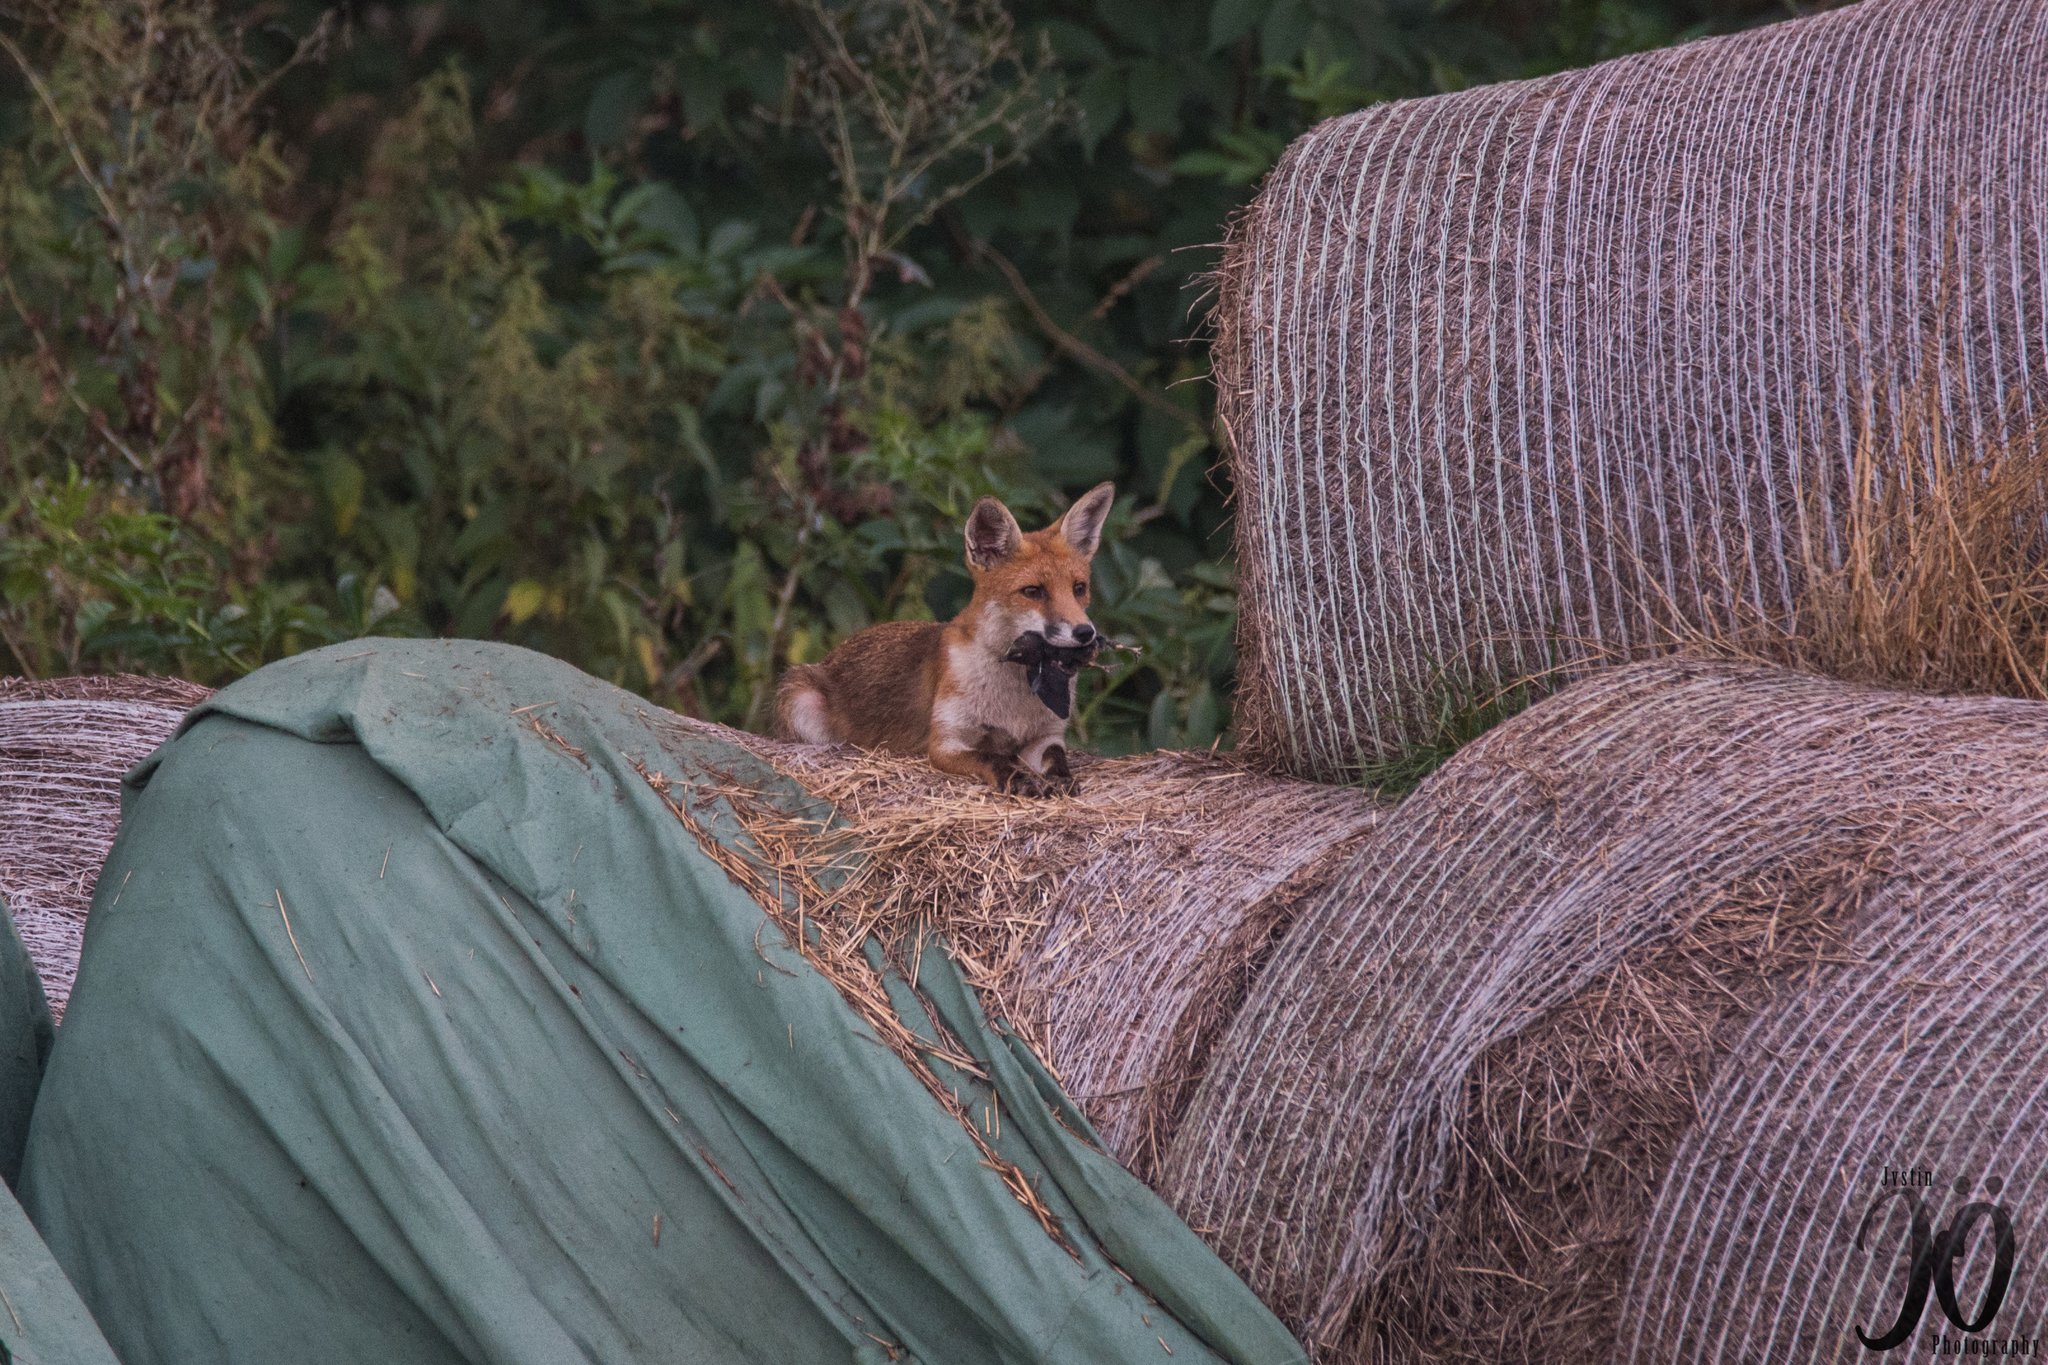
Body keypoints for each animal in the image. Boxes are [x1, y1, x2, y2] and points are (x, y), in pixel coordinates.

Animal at [773, 483, 1115, 796]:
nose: (1085, 633)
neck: (1013, 701)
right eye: (1033, 591)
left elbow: (1057, 759)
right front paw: (1017, 778)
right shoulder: (945, 743)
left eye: (1079, 588)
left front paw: (1059, 779)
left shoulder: (1046, 736)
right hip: (801, 701)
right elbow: (991, 758)